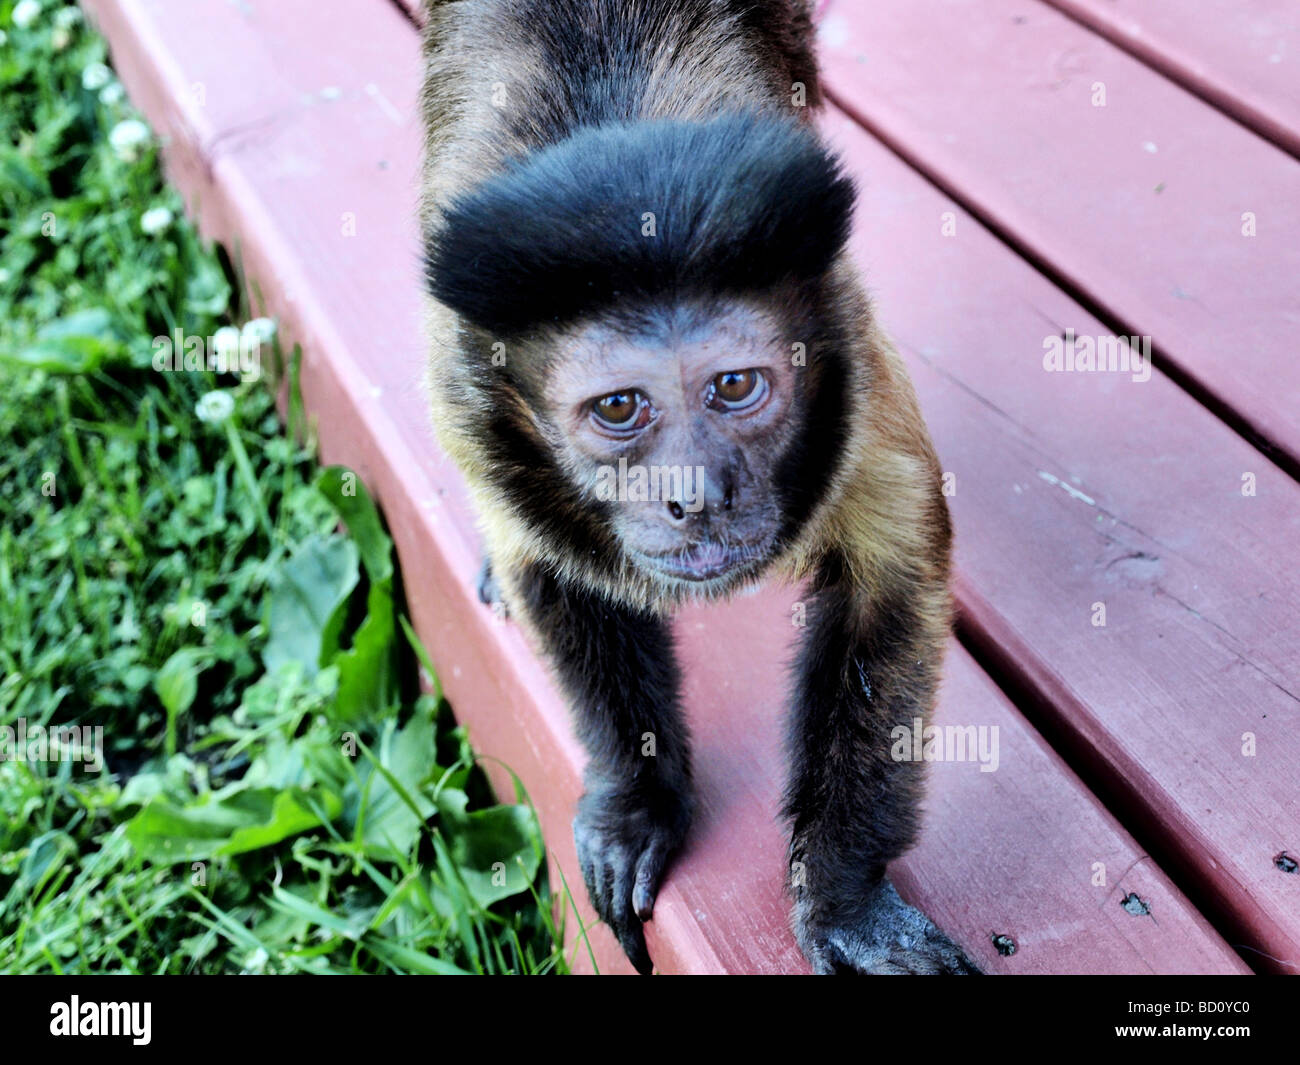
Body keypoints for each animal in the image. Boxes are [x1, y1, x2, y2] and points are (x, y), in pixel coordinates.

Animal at [417, 0, 979, 975]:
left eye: (736, 386)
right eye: (619, 407)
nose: (695, 495)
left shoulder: (852, 365)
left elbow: (892, 578)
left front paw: (844, 899)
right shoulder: (466, 393)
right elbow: (552, 570)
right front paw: (636, 804)